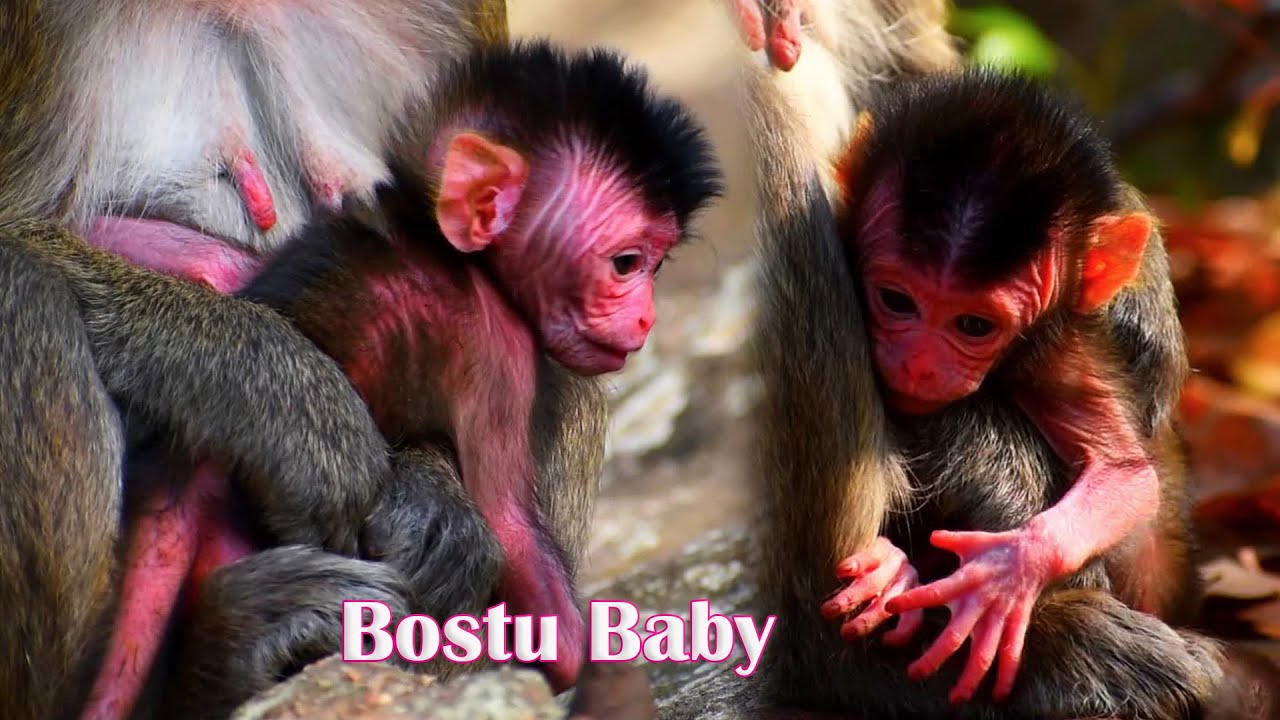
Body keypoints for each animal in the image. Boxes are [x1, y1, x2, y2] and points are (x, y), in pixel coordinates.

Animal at [53, 41, 720, 720]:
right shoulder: (497, 349)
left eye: (654, 265)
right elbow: (515, 540)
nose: (647, 316)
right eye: (627, 264)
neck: (451, 253)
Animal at [742, 64, 1280, 719]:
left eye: (974, 325)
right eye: (896, 300)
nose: (919, 367)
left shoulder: (1064, 353)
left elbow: (1125, 476)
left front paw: (1003, 574)